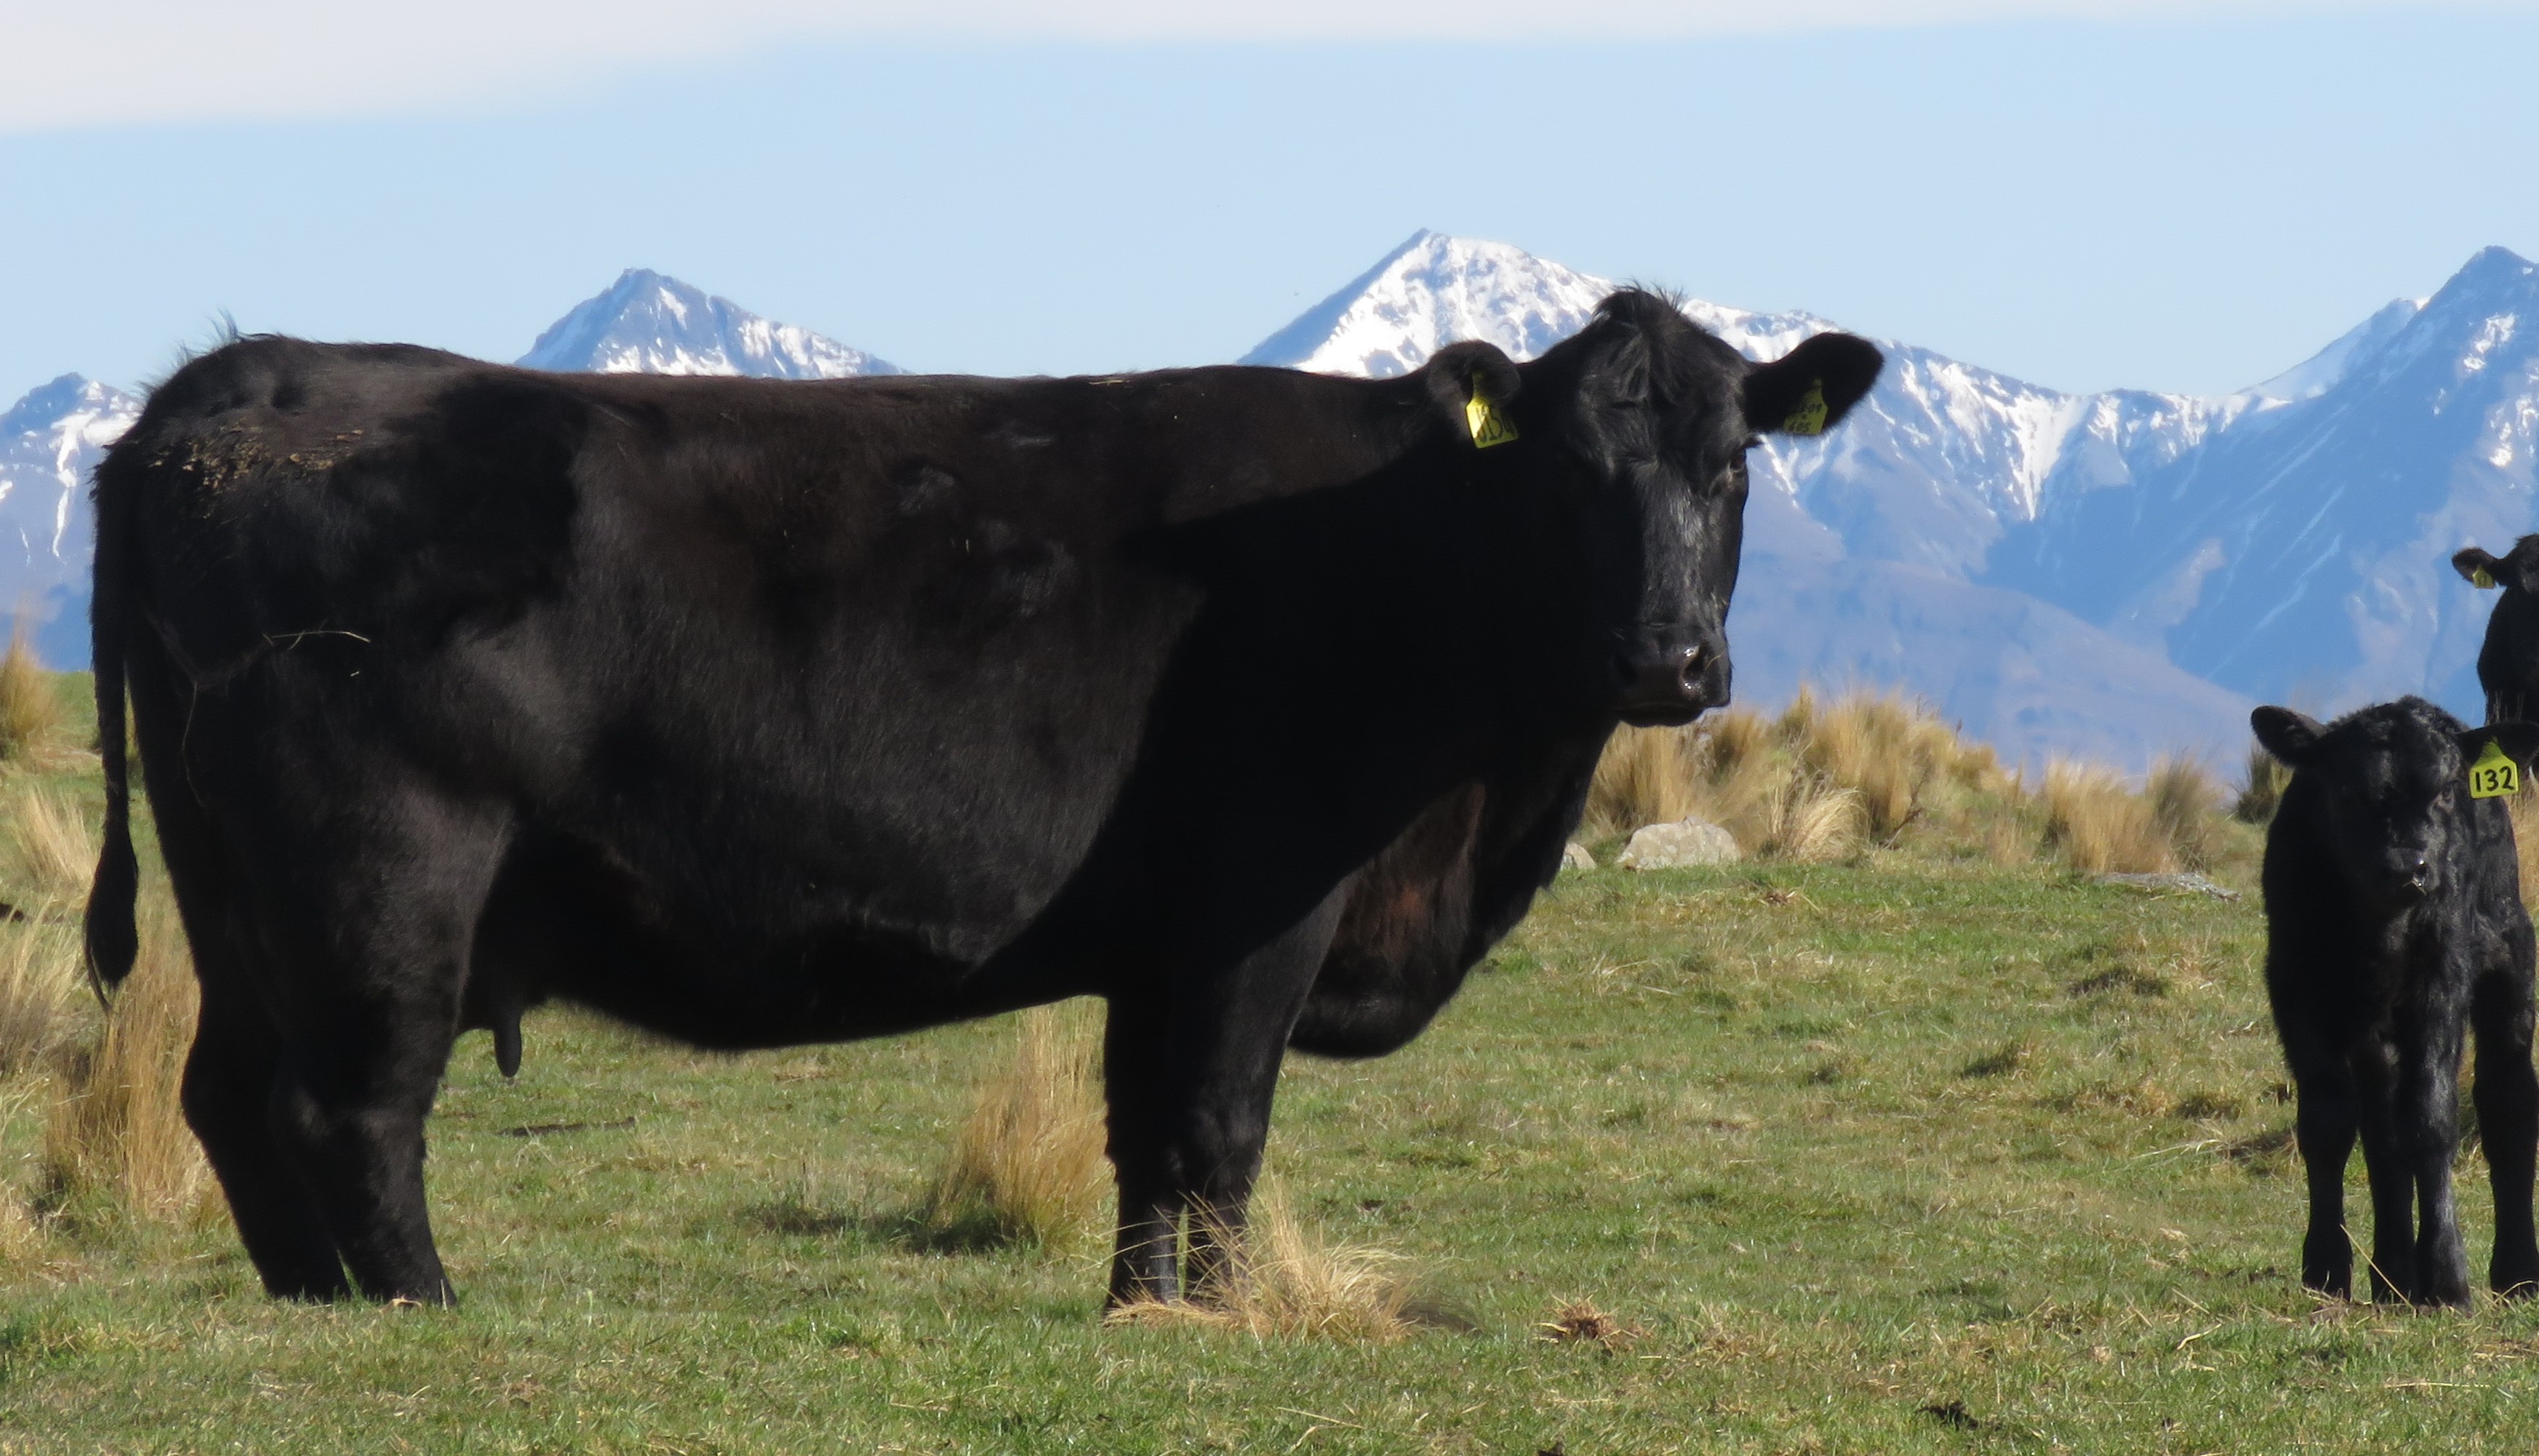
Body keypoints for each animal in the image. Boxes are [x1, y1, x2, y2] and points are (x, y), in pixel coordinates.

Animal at [84, 291, 1881, 1307]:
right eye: (1572, 468)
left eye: (1733, 462)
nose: (1669, 657)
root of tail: (224, 391)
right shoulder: (1262, 905)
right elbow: (1217, 1124)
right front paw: (1218, 1317)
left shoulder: (1164, 937)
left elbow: (1145, 1131)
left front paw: (1144, 1309)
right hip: (385, 876)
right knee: (351, 1107)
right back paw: (418, 1304)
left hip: (236, 886)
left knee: (227, 1092)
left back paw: (311, 1302)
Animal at [2253, 697, 2539, 1306]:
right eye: (2344, 790)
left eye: (2446, 790)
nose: (2408, 868)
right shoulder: (2292, 985)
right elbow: (2328, 1121)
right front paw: (2325, 1266)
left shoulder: (2440, 979)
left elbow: (2430, 1118)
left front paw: (2447, 1276)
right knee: (2381, 1131)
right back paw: (2393, 1276)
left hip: (2508, 957)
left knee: (2506, 1100)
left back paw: (2516, 1272)